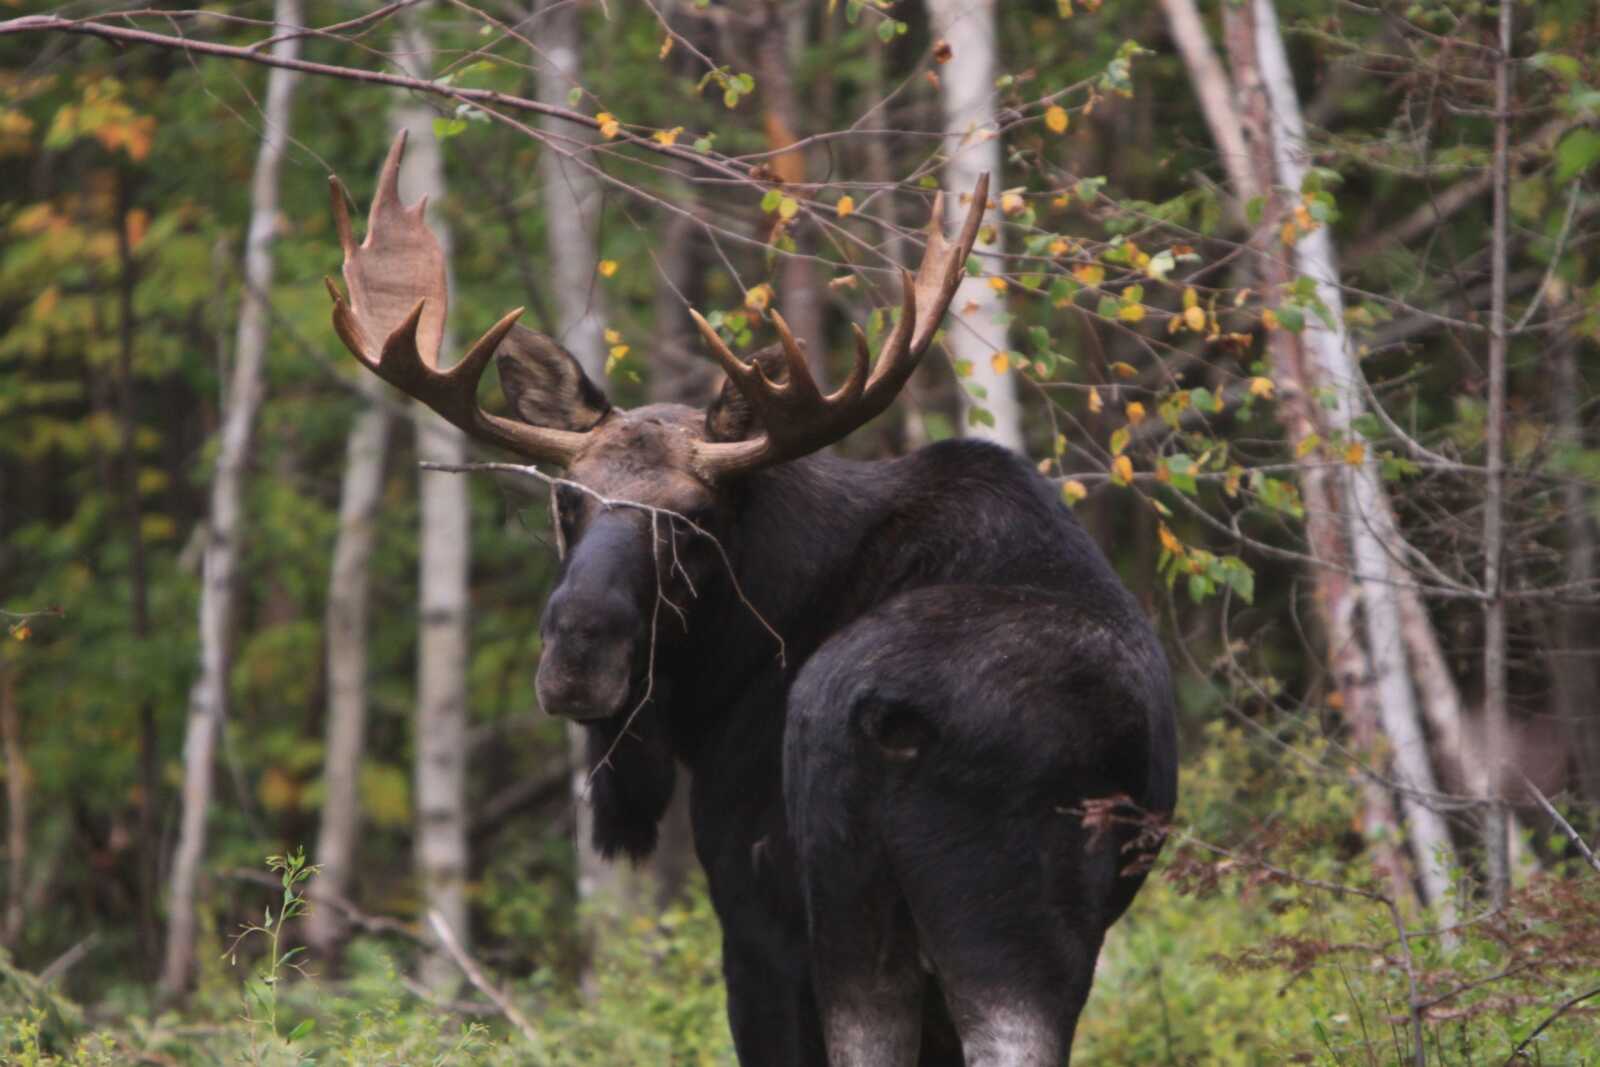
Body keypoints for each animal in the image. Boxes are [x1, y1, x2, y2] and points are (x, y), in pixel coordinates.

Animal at [325, 130, 1178, 1067]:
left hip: (949, 911)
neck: (721, 683)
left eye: (697, 518)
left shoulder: (748, 896)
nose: (579, 652)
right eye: (566, 499)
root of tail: (891, 709)